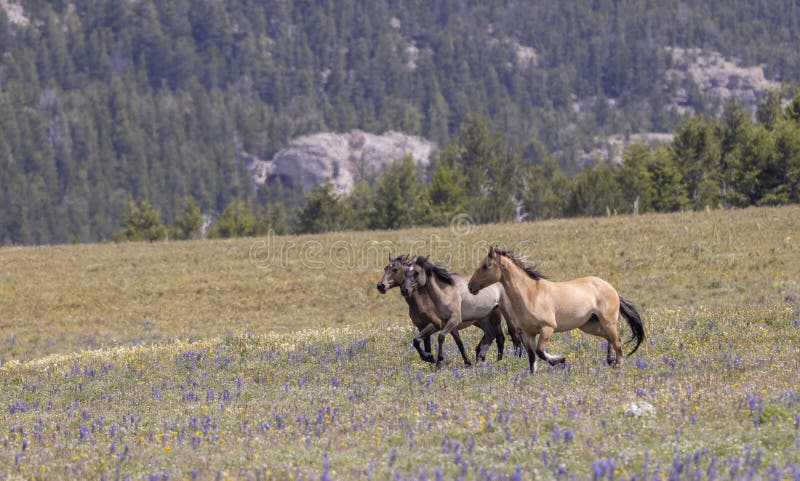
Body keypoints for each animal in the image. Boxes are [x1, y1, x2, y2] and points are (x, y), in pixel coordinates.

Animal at [467, 247, 645, 373]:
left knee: (618, 343)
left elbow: (540, 351)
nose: (470, 286)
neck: (531, 294)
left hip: (608, 322)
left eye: (485, 266)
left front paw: (560, 361)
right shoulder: (528, 333)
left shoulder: (548, 328)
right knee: (611, 339)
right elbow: (532, 357)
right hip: (589, 325)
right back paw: (610, 361)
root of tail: (611, 288)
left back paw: (617, 366)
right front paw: (533, 376)